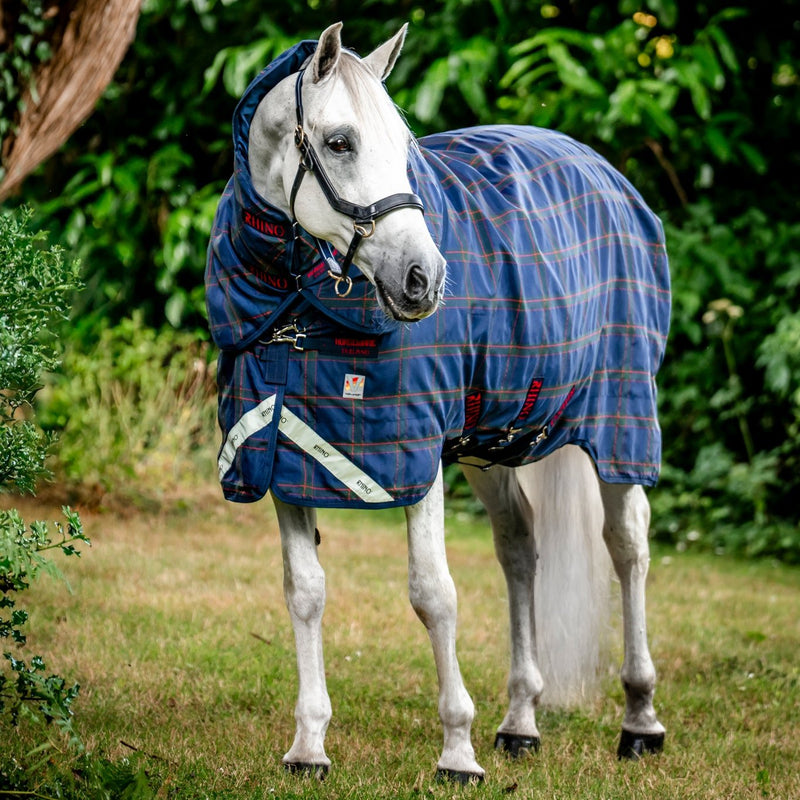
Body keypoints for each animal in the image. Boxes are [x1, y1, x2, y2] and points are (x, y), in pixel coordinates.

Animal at [205, 22, 670, 782]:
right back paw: (520, 721)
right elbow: (305, 591)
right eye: (340, 142)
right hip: (493, 442)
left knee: (628, 546)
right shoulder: (285, 449)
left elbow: (433, 593)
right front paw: (309, 745)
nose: (424, 278)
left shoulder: (415, 457)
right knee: (520, 548)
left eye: (404, 144)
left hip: (620, 418)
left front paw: (457, 750)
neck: (297, 310)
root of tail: (601, 170)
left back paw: (640, 718)